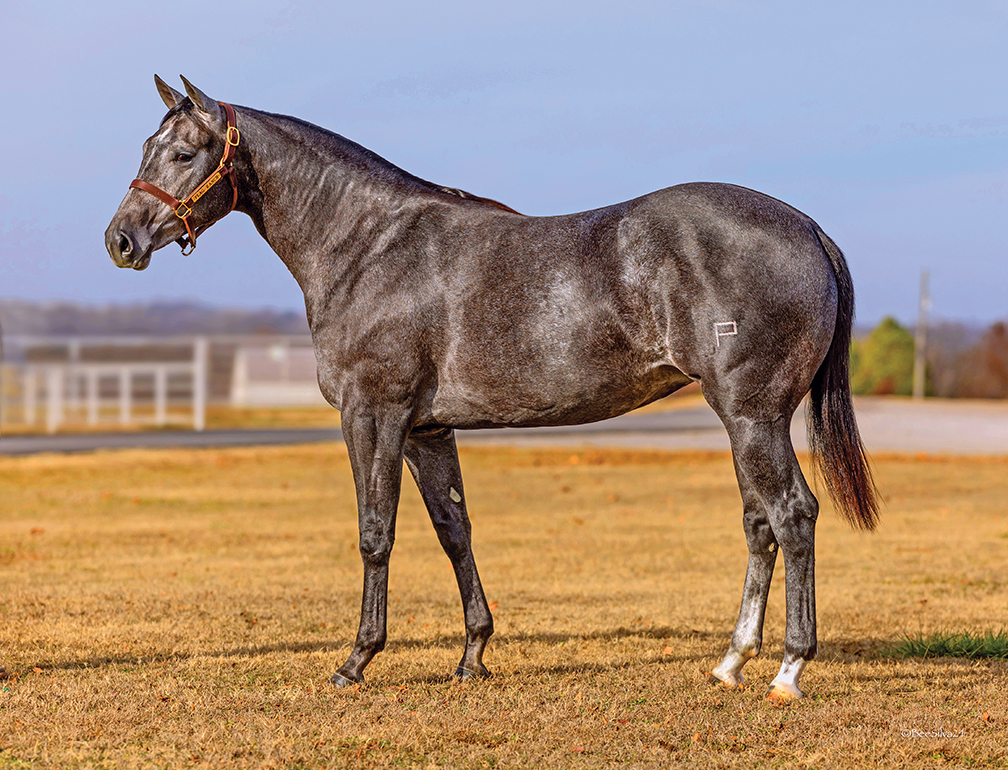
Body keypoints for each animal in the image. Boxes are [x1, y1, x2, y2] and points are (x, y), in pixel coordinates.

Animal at [105, 75, 878, 700]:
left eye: (184, 154)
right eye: (147, 145)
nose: (120, 241)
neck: (368, 246)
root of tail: (809, 228)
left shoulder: (373, 414)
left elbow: (375, 533)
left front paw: (356, 660)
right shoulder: (426, 429)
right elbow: (454, 531)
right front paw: (473, 655)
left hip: (753, 416)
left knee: (793, 515)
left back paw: (788, 670)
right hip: (745, 423)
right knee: (759, 523)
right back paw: (731, 662)